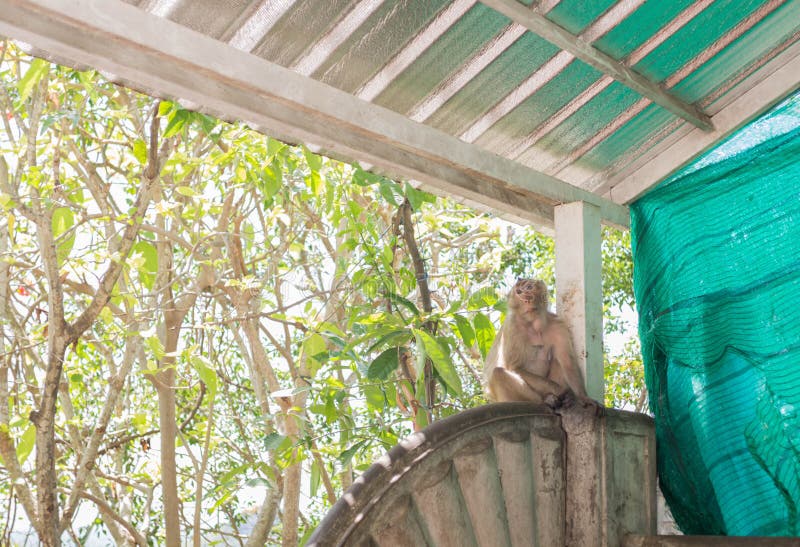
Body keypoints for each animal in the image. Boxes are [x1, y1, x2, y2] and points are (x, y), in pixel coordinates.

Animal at [484, 278, 598, 409]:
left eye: (528, 287)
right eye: (519, 290)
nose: (523, 295)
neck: (534, 325)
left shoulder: (558, 325)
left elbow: (567, 362)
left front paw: (582, 396)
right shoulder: (512, 326)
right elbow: (514, 367)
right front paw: (562, 391)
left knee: (558, 359)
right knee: (498, 373)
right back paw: (547, 399)